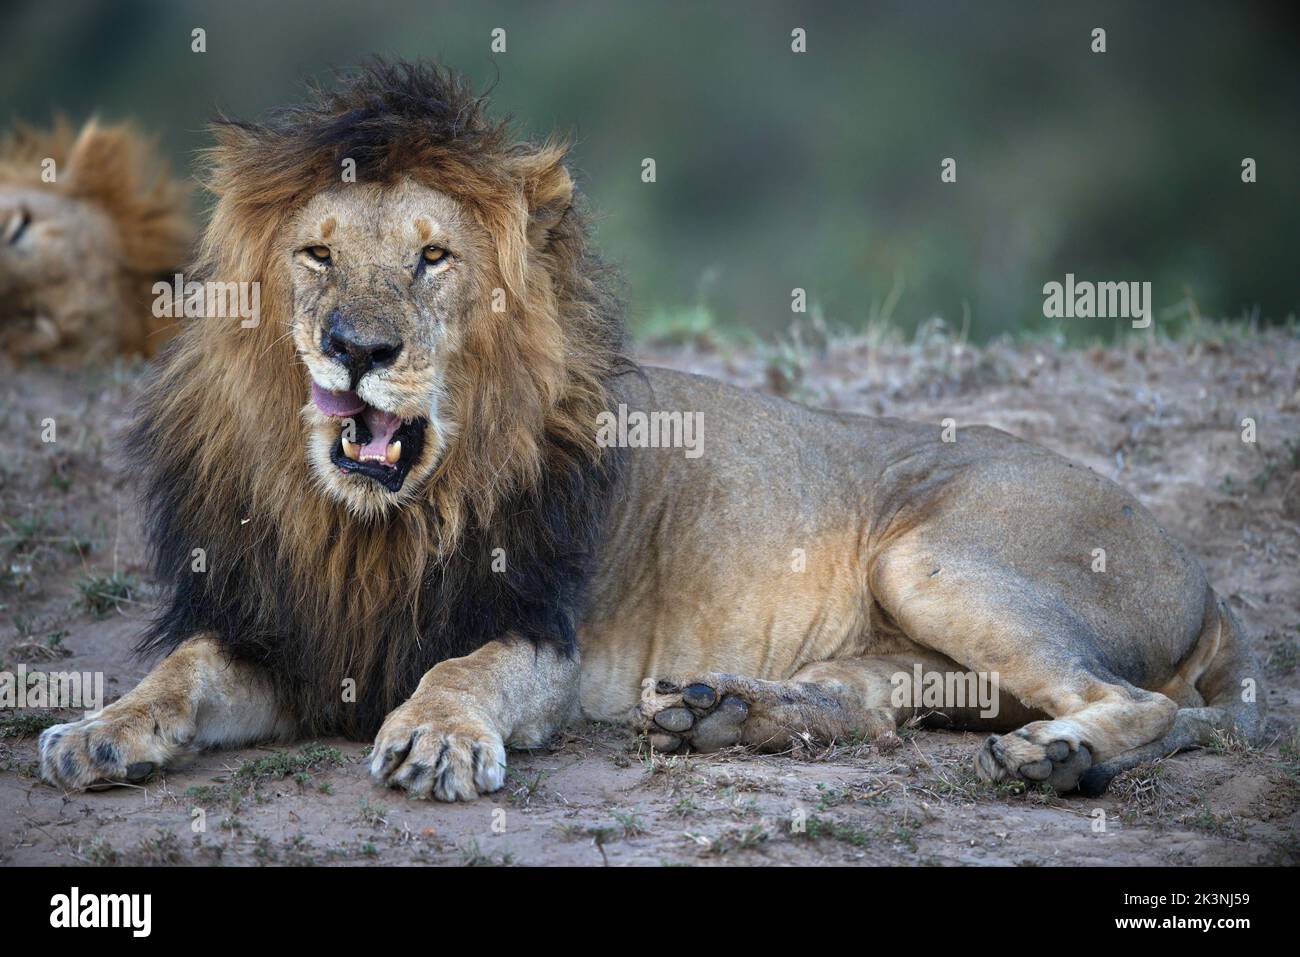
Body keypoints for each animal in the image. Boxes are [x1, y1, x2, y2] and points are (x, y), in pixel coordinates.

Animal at [39, 61, 1262, 801]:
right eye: (317, 255)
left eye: (433, 258)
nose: (357, 347)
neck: (370, 523)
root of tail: (1200, 573)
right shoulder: (281, 633)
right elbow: (183, 669)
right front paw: (98, 728)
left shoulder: (543, 632)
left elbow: (466, 669)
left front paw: (436, 736)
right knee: (880, 709)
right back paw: (726, 712)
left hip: (933, 557)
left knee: (1153, 707)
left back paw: (1058, 755)